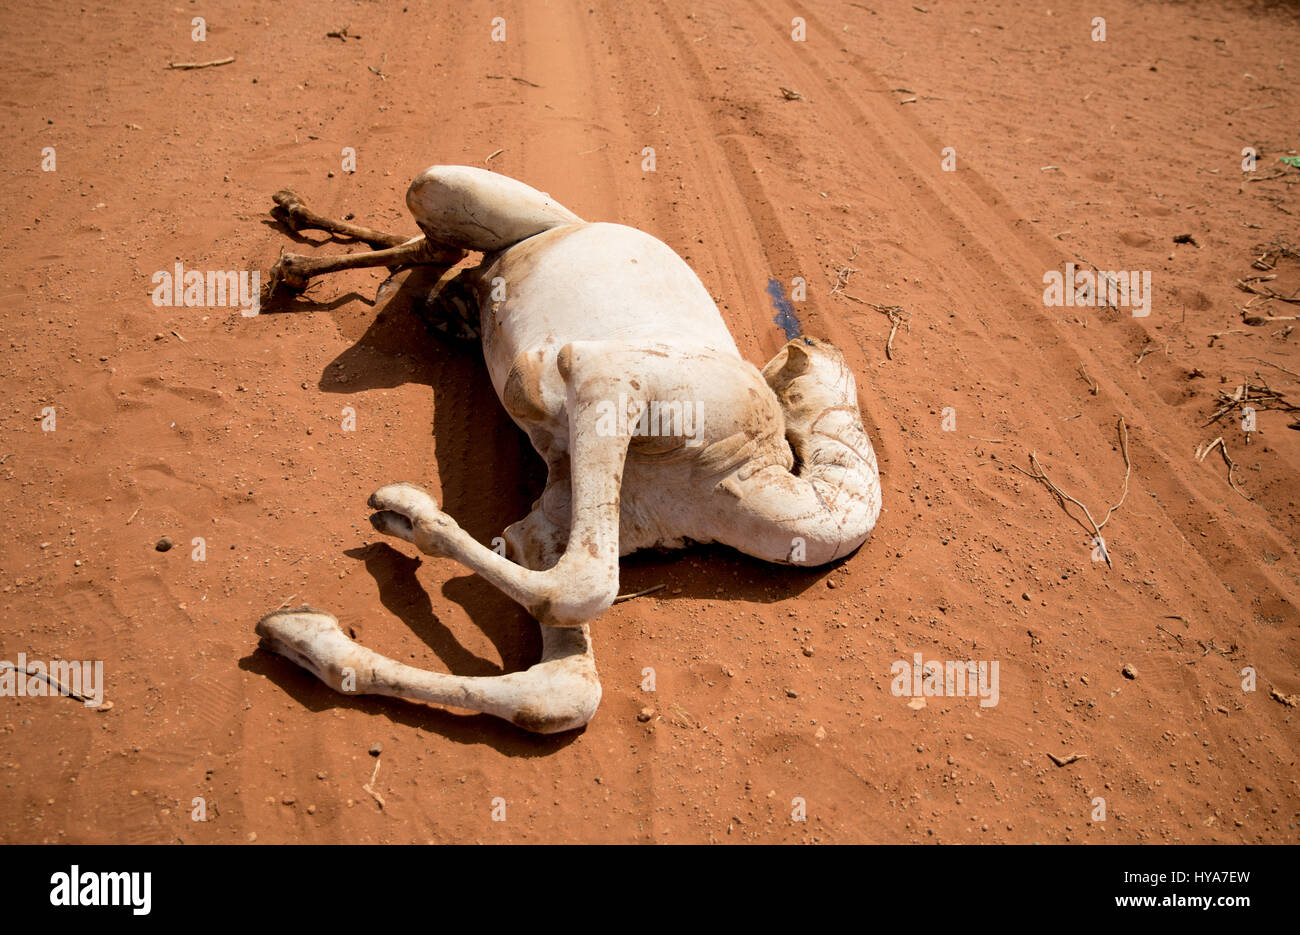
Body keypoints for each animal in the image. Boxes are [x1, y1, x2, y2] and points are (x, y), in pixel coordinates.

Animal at [255, 166, 882, 733]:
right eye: (811, 351)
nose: (814, 337)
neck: (731, 483)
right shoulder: (612, 376)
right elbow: (585, 583)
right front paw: (404, 510)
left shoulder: (553, 525)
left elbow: (562, 683)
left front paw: (307, 627)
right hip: (456, 191)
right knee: (439, 225)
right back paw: (294, 253)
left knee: (438, 254)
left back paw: (311, 254)